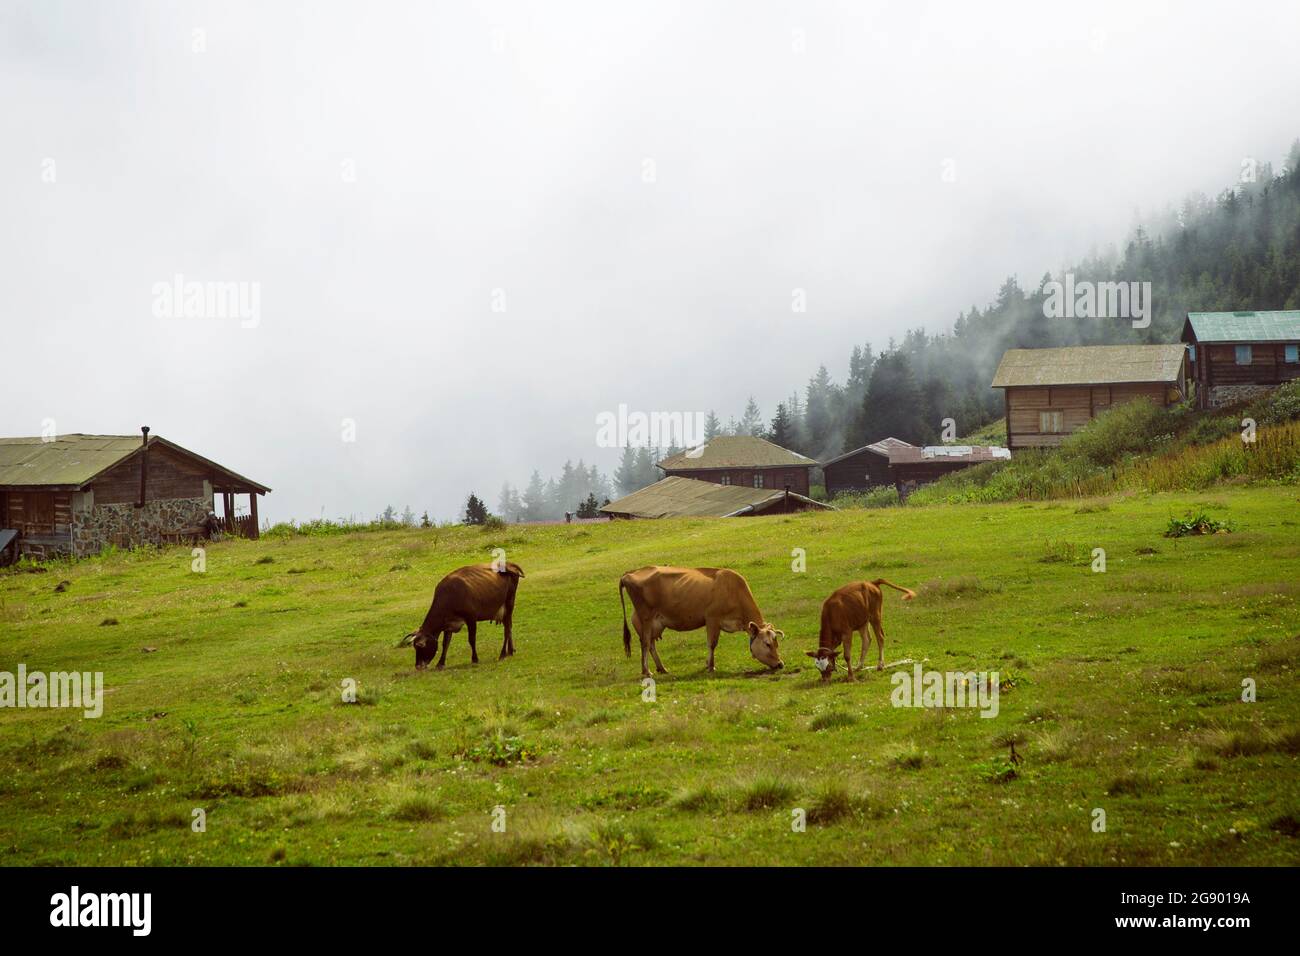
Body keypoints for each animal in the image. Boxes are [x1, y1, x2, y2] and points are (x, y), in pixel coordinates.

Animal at [618, 566, 784, 677]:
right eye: (767, 644)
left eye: (777, 643)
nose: (780, 664)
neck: (732, 590)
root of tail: (630, 573)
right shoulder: (712, 619)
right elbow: (712, 644)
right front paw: (711, 667)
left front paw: (707, 665)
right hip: (645, 618)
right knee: (646, 644)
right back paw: (647, 671)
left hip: (655, 623)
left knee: (651, 644)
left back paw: (662, 668)